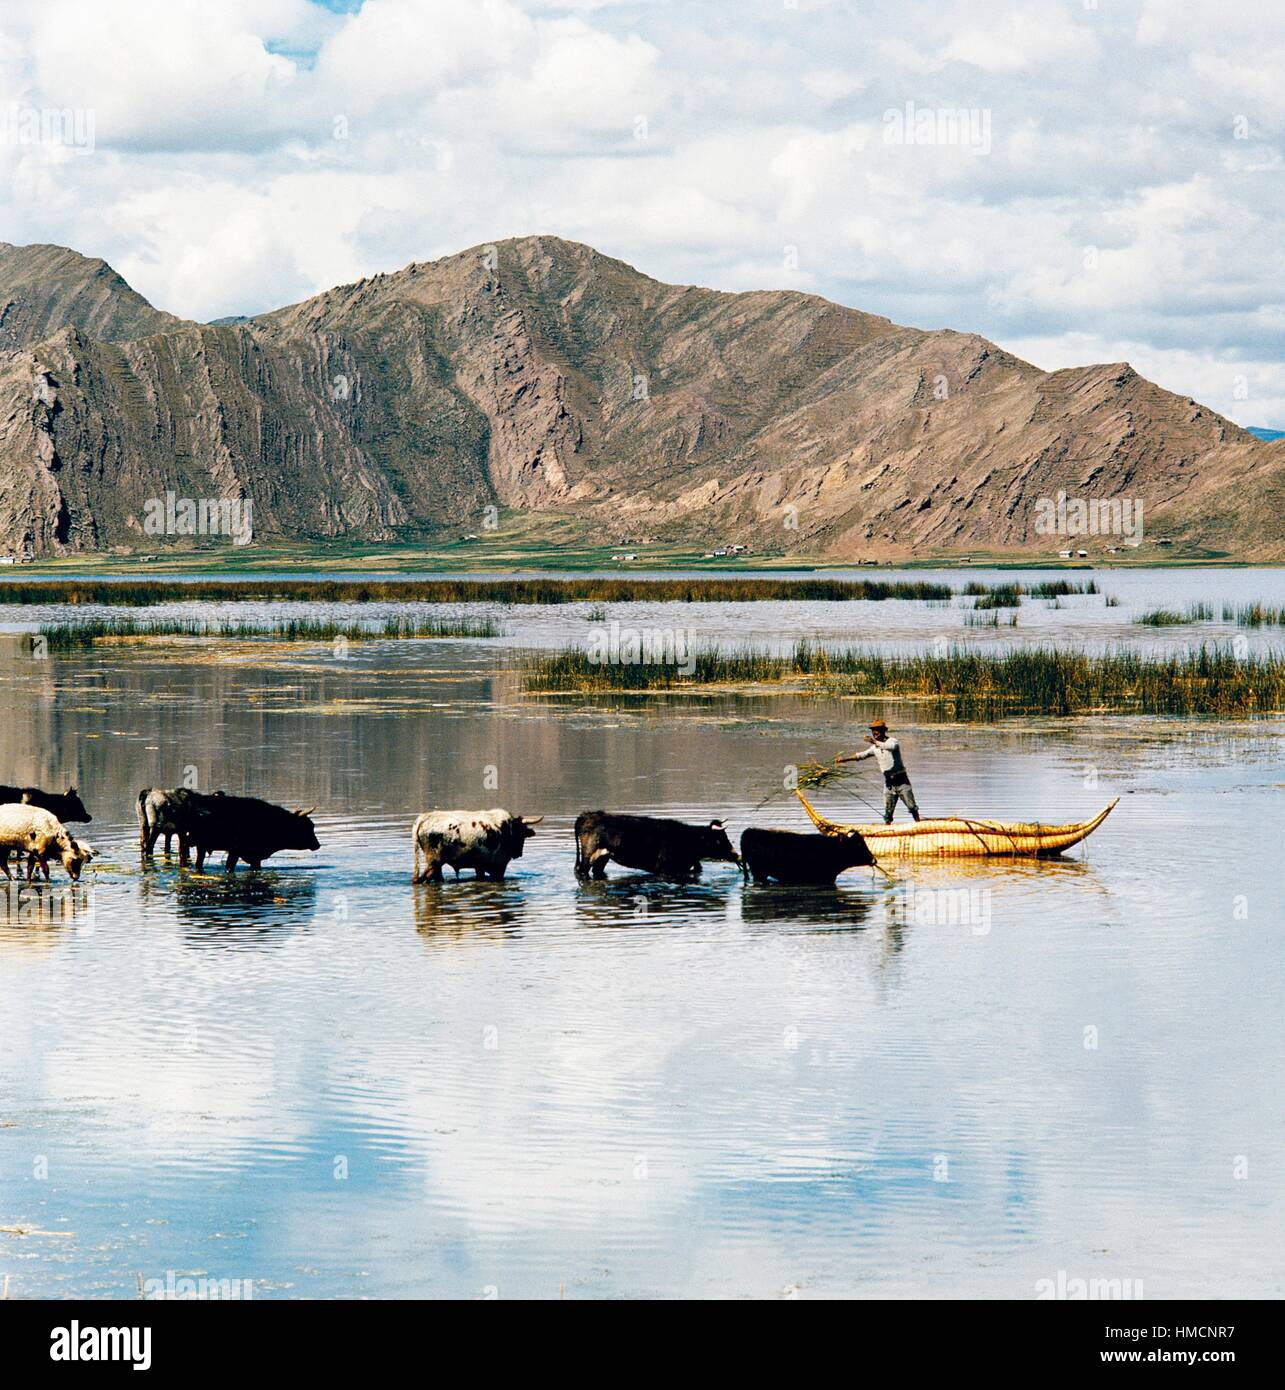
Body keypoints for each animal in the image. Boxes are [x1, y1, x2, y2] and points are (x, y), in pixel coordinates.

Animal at [412, 809, 543, 883]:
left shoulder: (480, 866)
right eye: (521, 834)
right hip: (434, 861)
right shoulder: (499, 866)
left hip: (436, 863)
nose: (519, 853)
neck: (507, 829)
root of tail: (423, 818)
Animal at [573, 811, 739, 881]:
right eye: (718, 840)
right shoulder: (662, 868)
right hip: (588, 856)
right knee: (582, 871)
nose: (735, 854)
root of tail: (587, 815)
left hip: (602, 858)